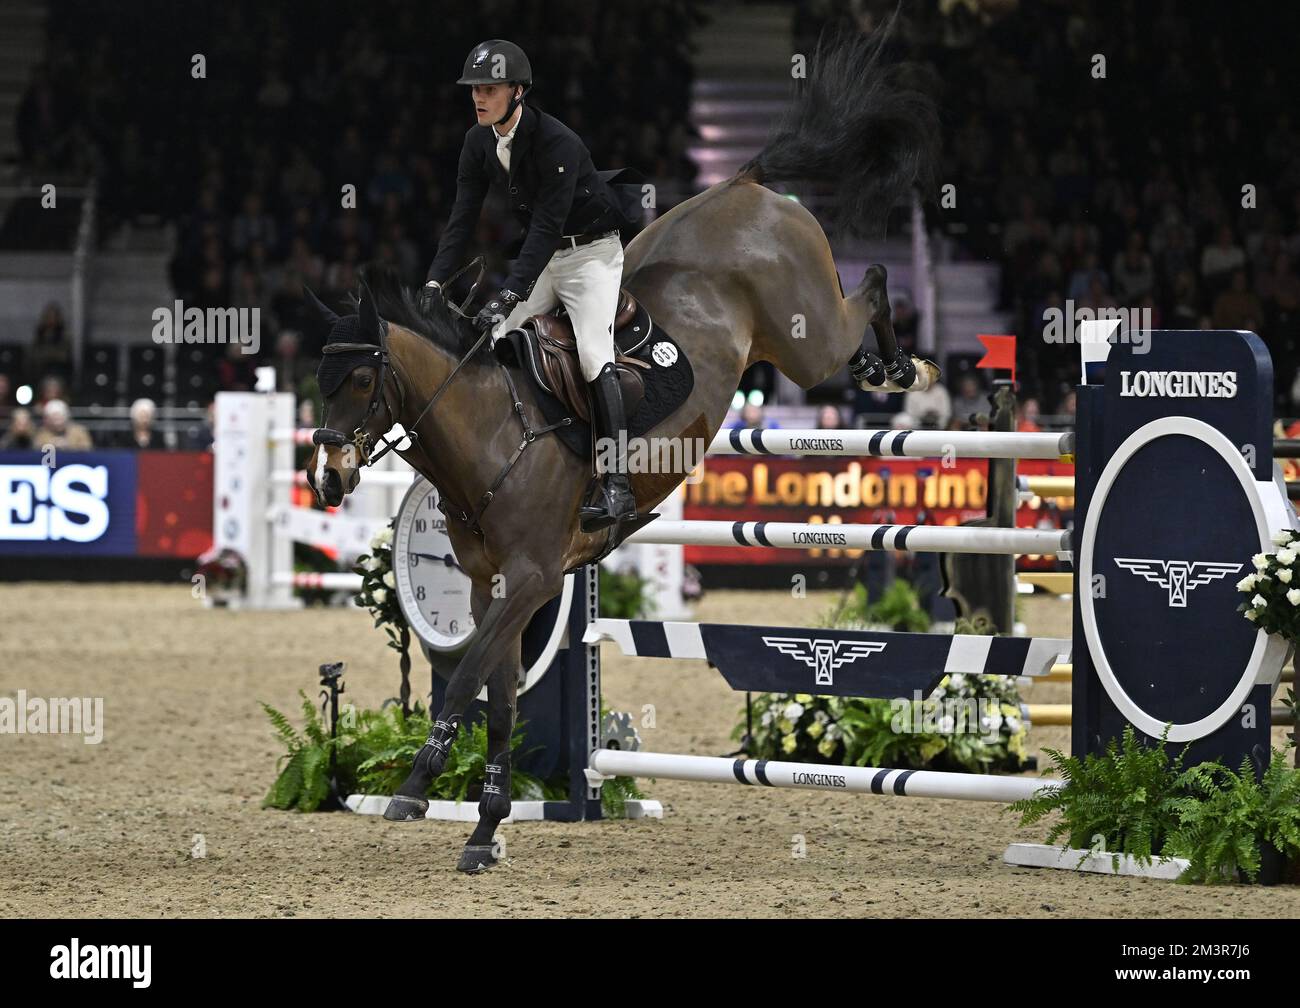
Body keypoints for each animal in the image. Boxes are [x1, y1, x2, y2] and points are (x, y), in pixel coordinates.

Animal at [306, 23, 940, 872]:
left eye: (358, 380)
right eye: (318, 379)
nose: (328, 477)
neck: (490, 433)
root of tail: (743, 185)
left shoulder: (534, 578)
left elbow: (467, 677)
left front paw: (416, 786)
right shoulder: (487, 587)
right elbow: (500, 698)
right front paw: (485, 829)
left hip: (807, 341)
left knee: (868, 283)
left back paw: (899, 366)